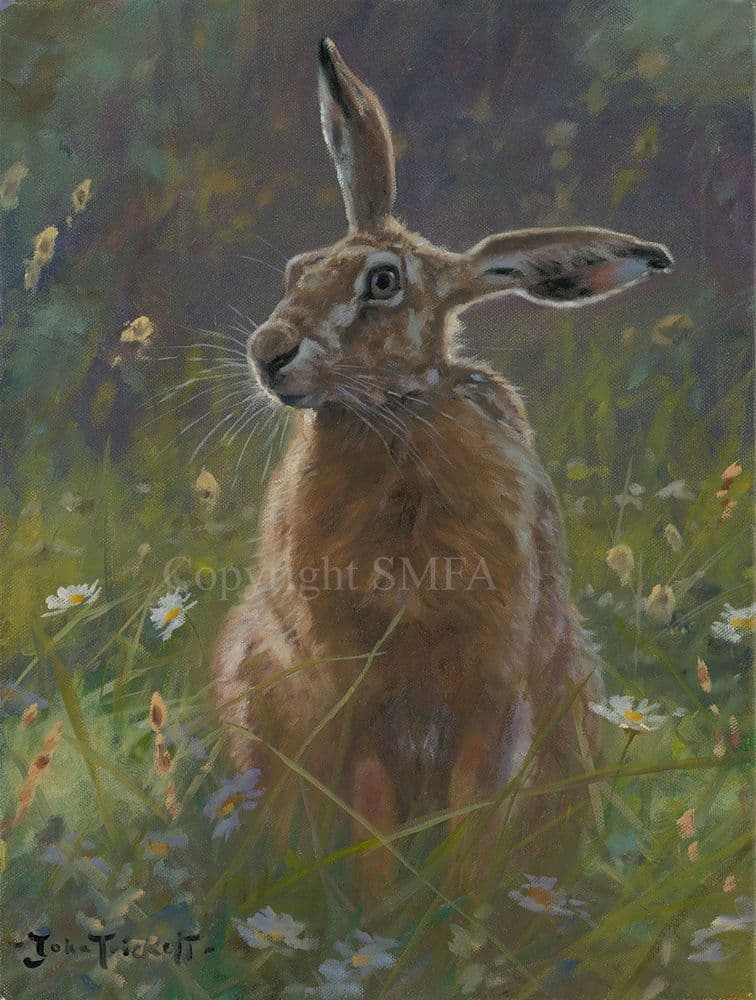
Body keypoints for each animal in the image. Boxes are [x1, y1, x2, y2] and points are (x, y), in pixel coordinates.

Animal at [212, 37, 673, 870]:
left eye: (383, 282)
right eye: (297, 271)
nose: (267, 353)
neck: (392, 420)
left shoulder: (492, 695)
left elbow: (477, 822)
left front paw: (466, 905)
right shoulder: (355, 700)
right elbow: (371, 831)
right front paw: (387, 899)